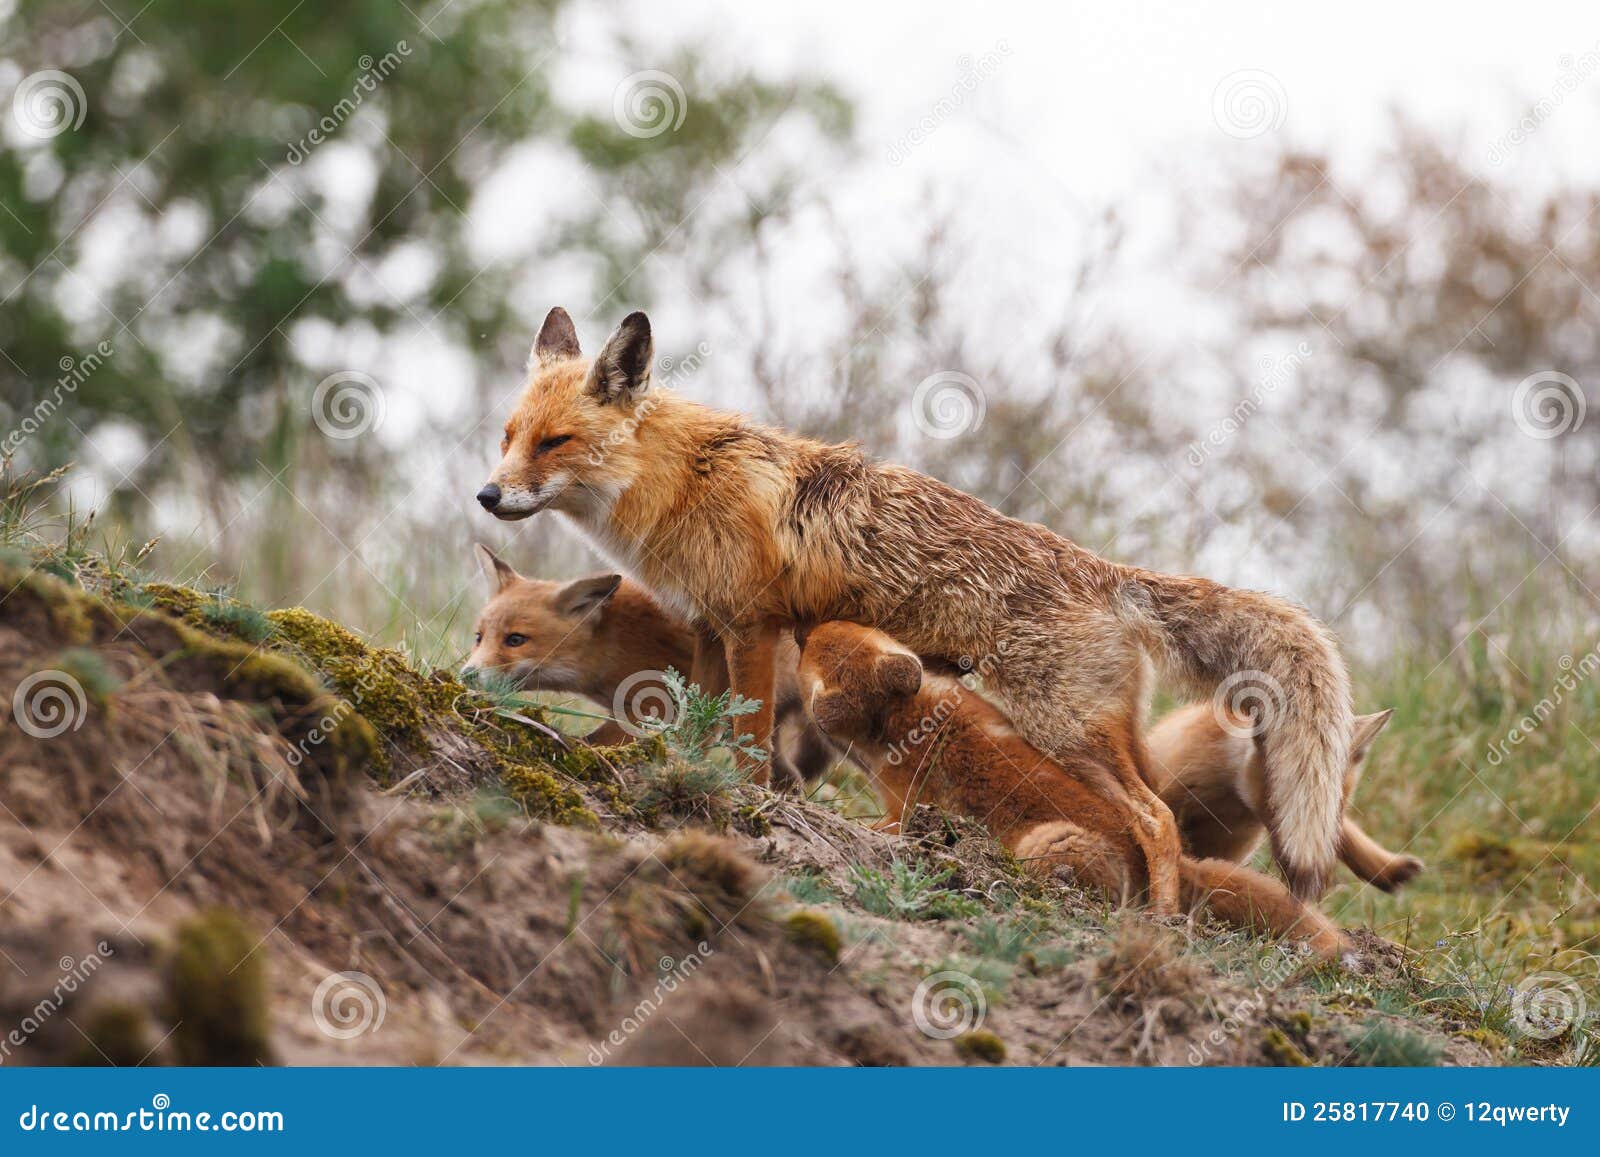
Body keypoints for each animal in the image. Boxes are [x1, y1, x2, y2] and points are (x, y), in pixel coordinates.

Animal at [461, 544, 841, 785]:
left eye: (515, 640)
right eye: (479, 637)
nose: (466, 675)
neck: (613, 642)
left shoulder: (654, 705)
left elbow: (594, 742)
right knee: (788, 774)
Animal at [792, 620, 1348, 959]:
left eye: (807, 648)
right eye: (830, 629)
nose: (798, 627)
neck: (906, 717)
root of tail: (1184, 867)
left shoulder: (902, 804)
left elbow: (883, 825)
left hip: (1046, 843)